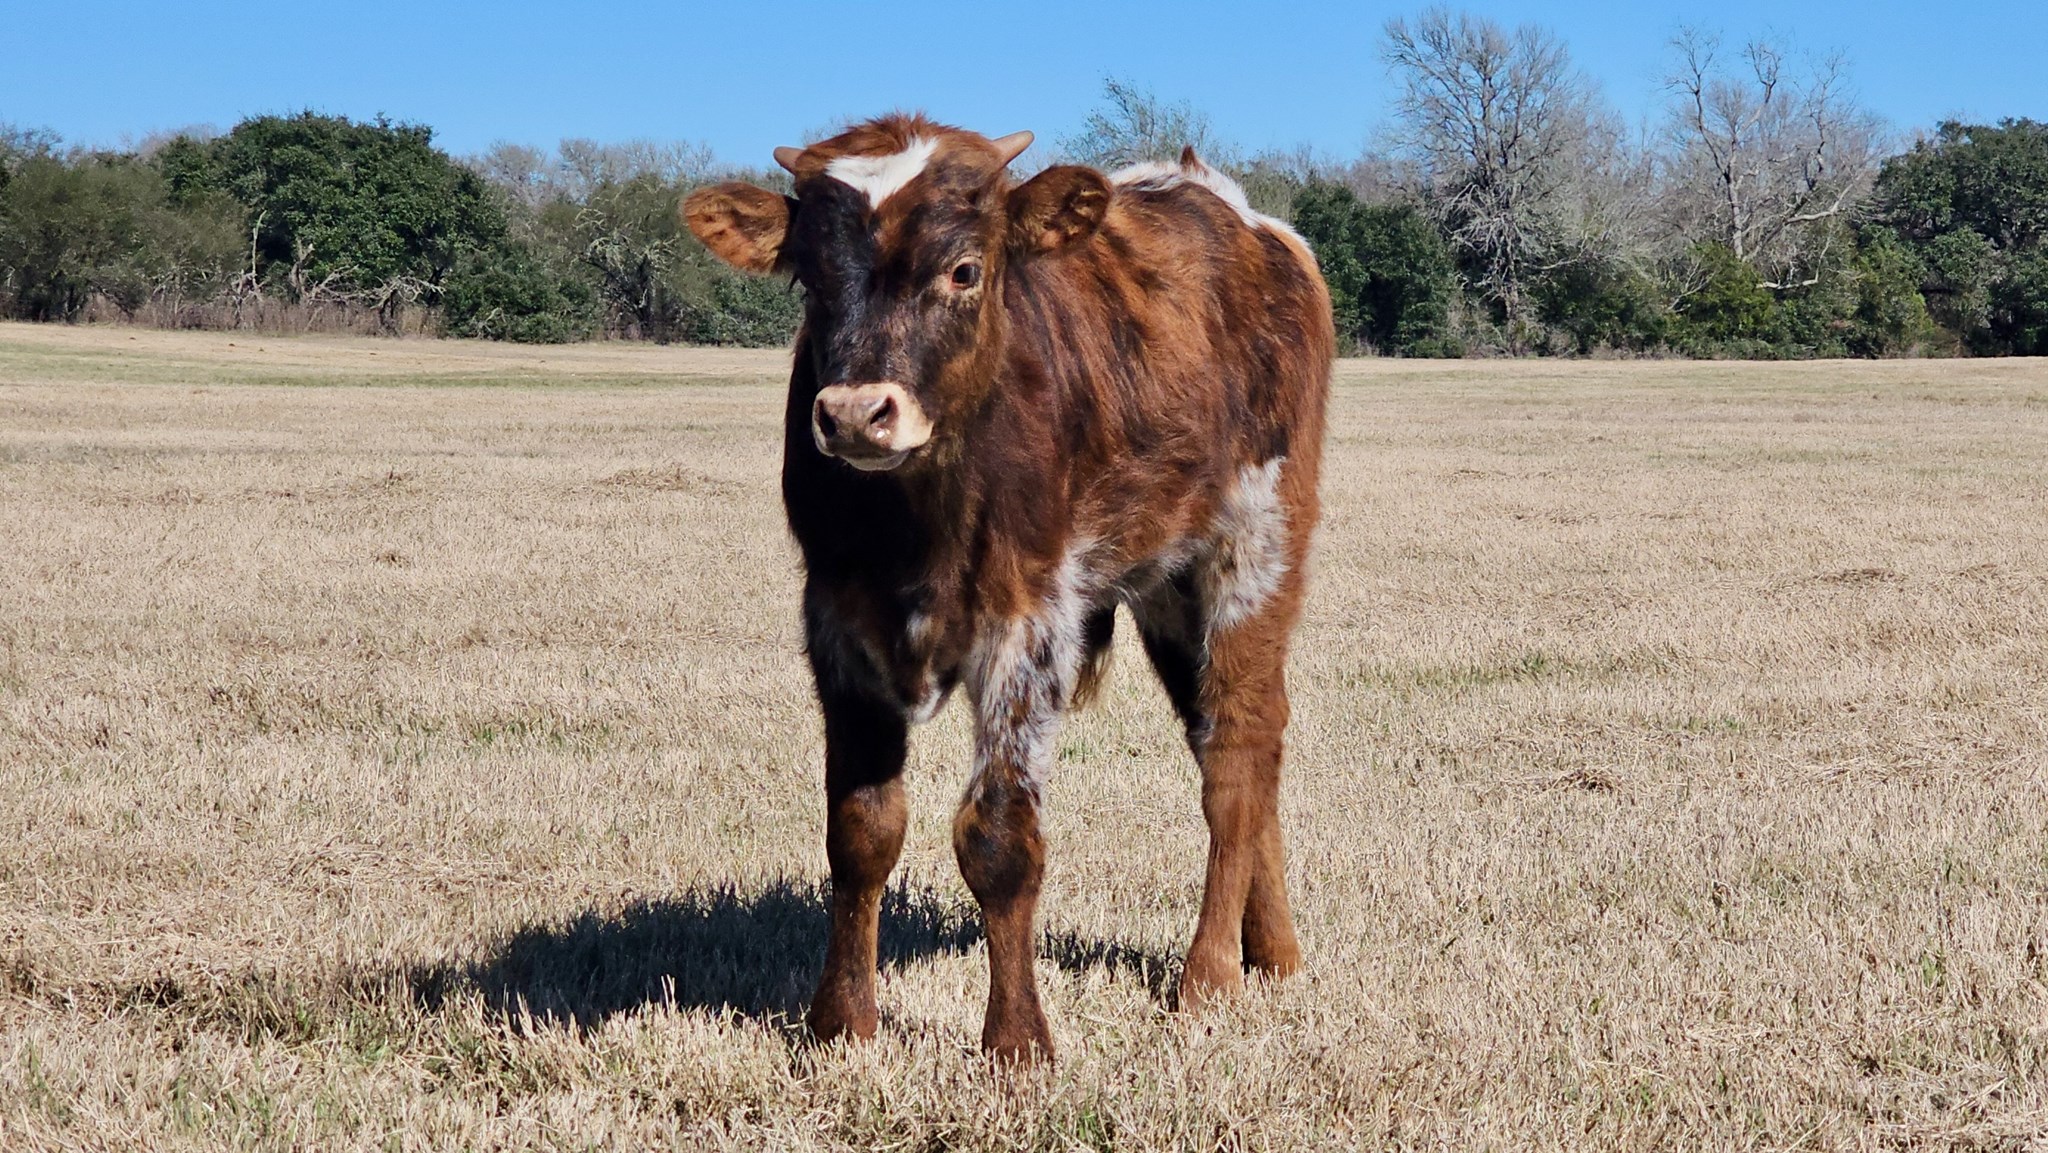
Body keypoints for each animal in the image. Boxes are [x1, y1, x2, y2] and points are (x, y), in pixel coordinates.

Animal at [683, 114, 1333, 1062]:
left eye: (964, 269)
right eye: (809, 277)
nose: (855, 414)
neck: (916, 514)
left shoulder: (1028, 628)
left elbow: (999, 838)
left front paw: (1017, 1041)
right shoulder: (837, 623)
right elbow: (861, 828)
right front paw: (842, 1022)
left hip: (1254, 549)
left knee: (1236, 757)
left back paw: (1209, 973)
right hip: (1168, 587)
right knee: (1241, 740)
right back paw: (1275, 951)